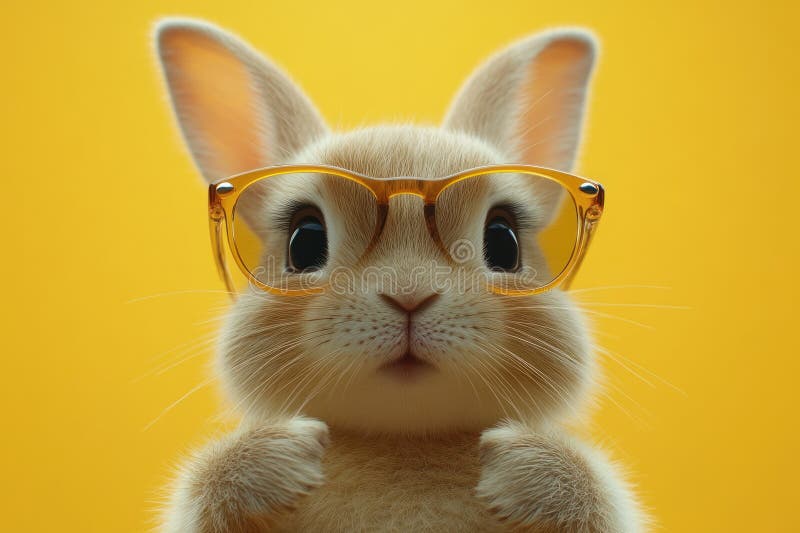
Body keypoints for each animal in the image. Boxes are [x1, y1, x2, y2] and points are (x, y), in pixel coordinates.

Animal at [154, 17, 646, 532]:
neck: (405, 437)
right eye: (303, 241)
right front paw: (285, 457)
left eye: (504, 240)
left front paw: (514, 467)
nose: (409, 296)